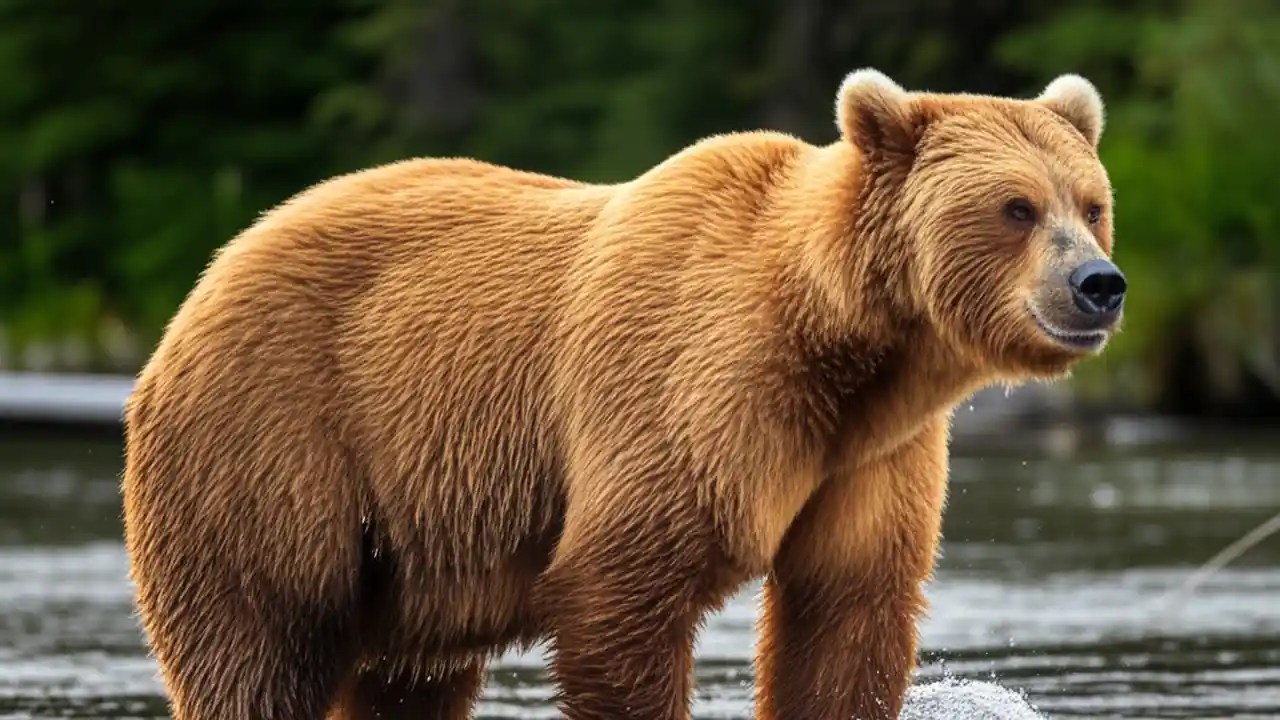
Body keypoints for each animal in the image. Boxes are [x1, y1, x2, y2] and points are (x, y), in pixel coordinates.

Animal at [121, 68, 1123, 720]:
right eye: (1015, 207)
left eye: (1091, 203)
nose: (1099, 284)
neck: (841, 350)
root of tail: (207, 277)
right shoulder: (685, 392)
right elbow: (625, 588)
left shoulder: (873, 455)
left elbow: (849, 612)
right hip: (273, 444)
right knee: (258, 644)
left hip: (409, 545)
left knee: (407, 678)